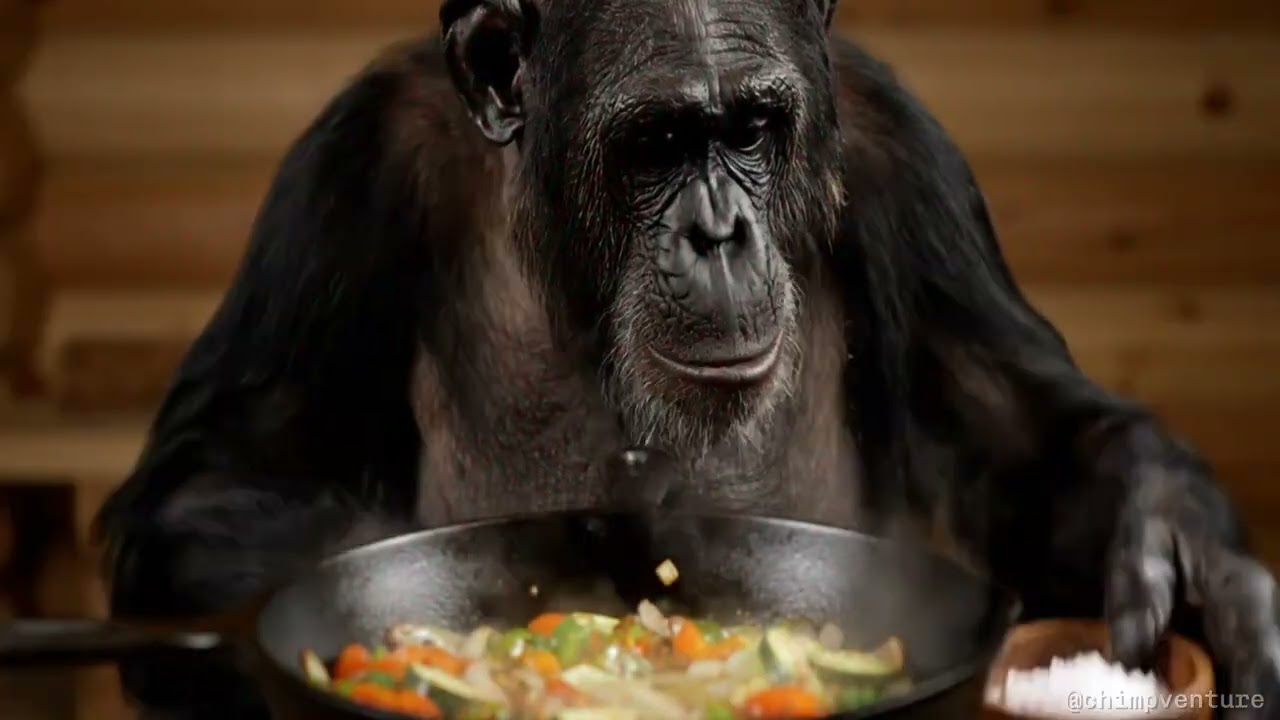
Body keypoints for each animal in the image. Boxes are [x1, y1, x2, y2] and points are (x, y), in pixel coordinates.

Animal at [94, 0, 1280, 718]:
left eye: (750, 128)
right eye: (658, 141)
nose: (717, 233)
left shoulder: (910, 160)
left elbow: (1020, 434)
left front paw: (1183, 558)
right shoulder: (344, 177)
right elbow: (212, 484)